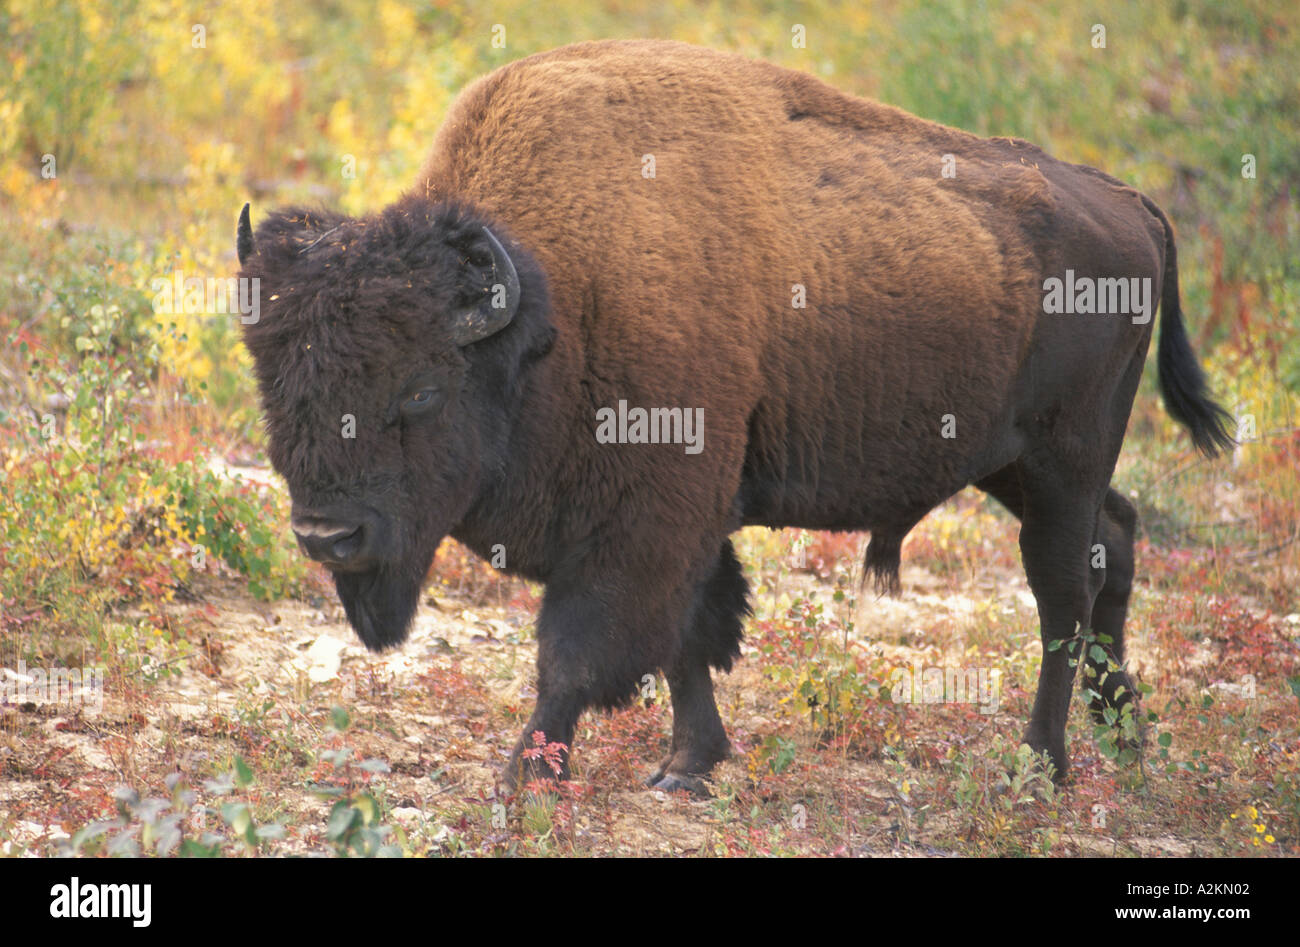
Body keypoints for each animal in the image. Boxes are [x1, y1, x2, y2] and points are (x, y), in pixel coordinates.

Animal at [236, 39, 1233, 792]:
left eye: (420, 391)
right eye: (274, 388)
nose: (326, 535)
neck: (549, 309)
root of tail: (1130, 204)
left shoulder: (644, 522)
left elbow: (583, 648)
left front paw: (527, 773)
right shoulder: (687, 517)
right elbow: (692, 634)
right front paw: (688, 764)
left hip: (1064, 462)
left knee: (1063, 592)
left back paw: (1042, 767)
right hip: (1012, 464)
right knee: (1117, 541)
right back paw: (1124, 739)